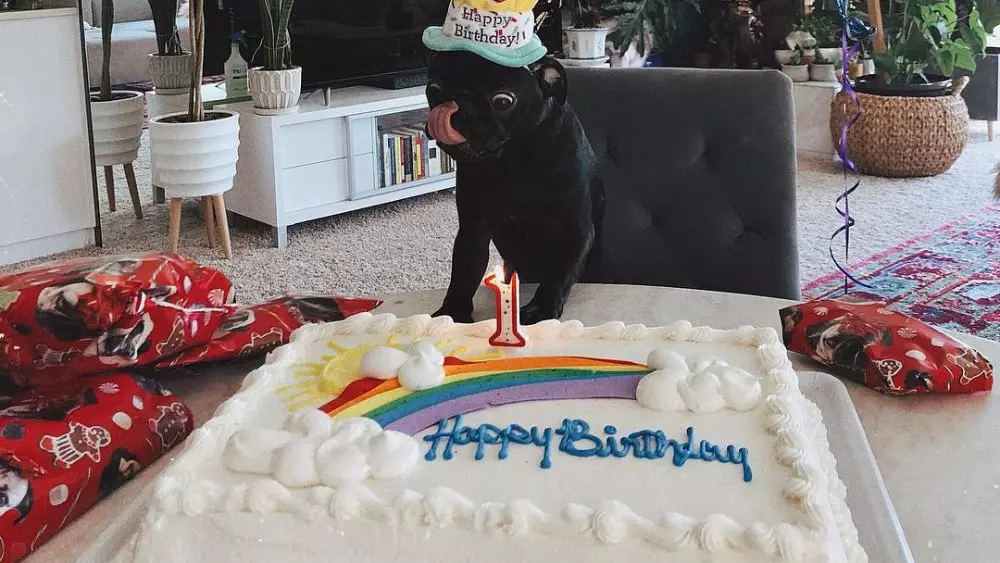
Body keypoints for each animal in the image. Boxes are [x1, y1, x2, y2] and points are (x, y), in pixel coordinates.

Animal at [422, 53, 600, 326]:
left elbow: (559, 273)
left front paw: (541, 307)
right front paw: (452, 311)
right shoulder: (473, 230)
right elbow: (463, 272)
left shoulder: (574, 230)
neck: (513, 159)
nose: (459, 108)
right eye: (433, 89)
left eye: (503, 101)